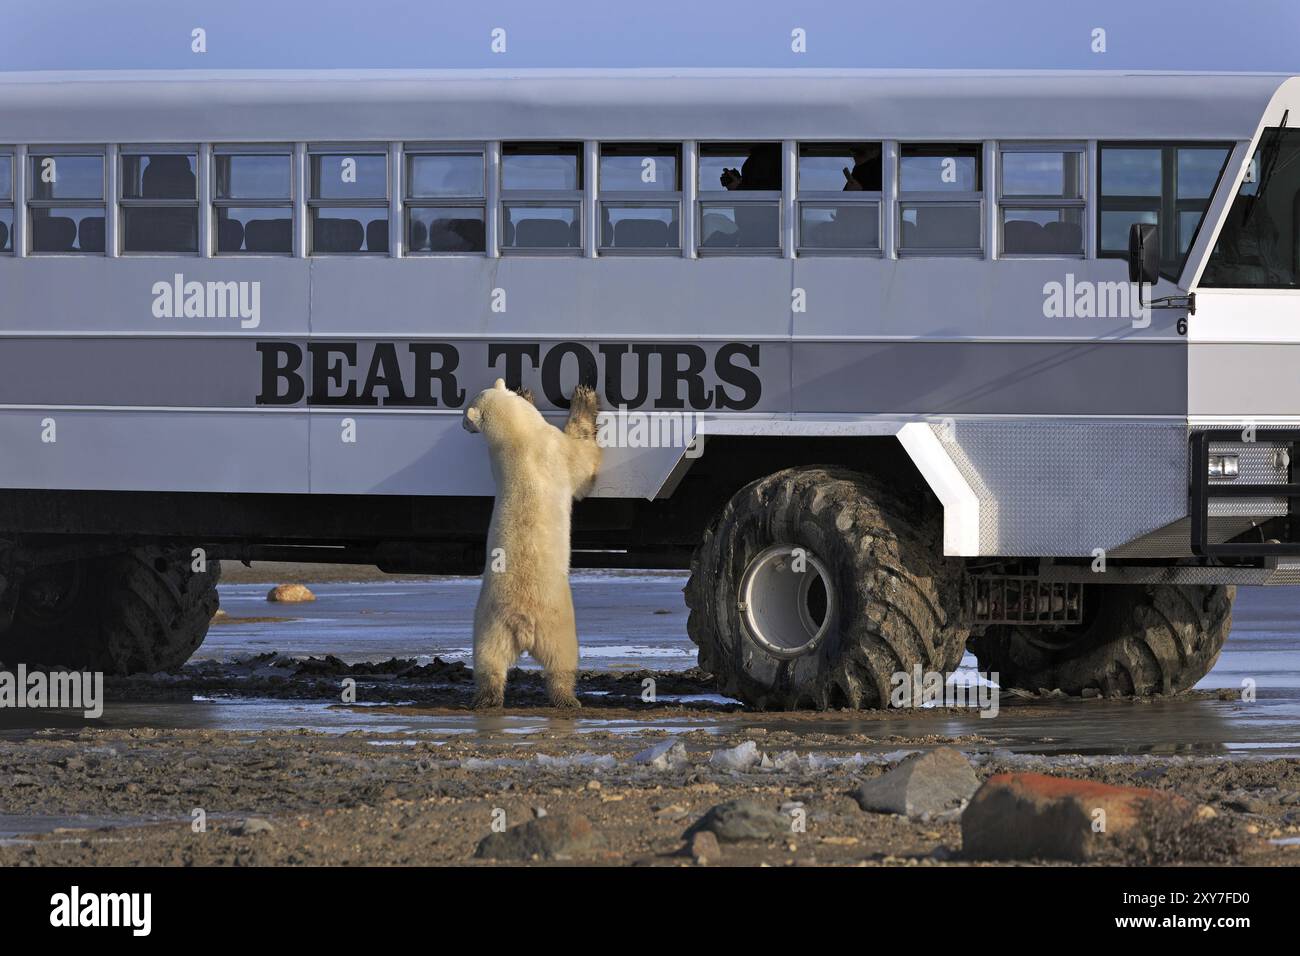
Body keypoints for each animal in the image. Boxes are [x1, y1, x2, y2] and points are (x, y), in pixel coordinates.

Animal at [462, 379, 602, 709]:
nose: (462, 424)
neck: (519, 440)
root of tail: (521, 622)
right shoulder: (556, 451)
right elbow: (583, 460)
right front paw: (584, 398)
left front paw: (525, 393)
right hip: (554, 622)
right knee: (562, 659)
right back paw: (568, 699)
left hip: (490, 626)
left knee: (488, 661)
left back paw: (485, 698)